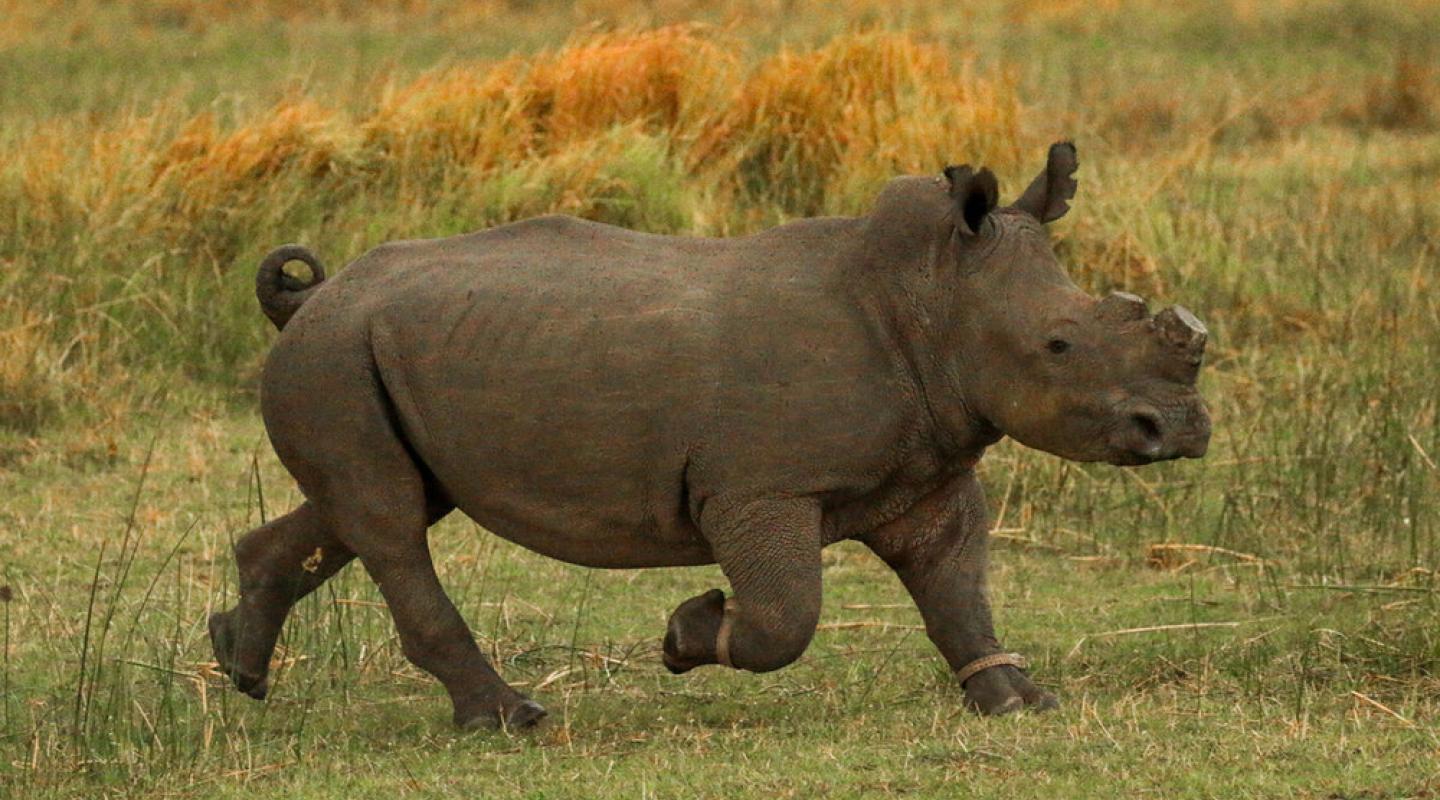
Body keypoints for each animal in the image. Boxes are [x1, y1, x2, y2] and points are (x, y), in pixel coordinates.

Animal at [209, 142, 1211, 729]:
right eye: (1060, 345)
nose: (1182, 428)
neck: (932, 295)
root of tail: (311, 299)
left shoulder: (927, 473)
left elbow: (957, 592)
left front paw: (1018, 702)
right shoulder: (758, 489)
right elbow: (787, 617)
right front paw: (687, 634)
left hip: (361, 357)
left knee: (372, 507)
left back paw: (241, 669)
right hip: (337, 356)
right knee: (389, 522)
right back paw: (514, 721)